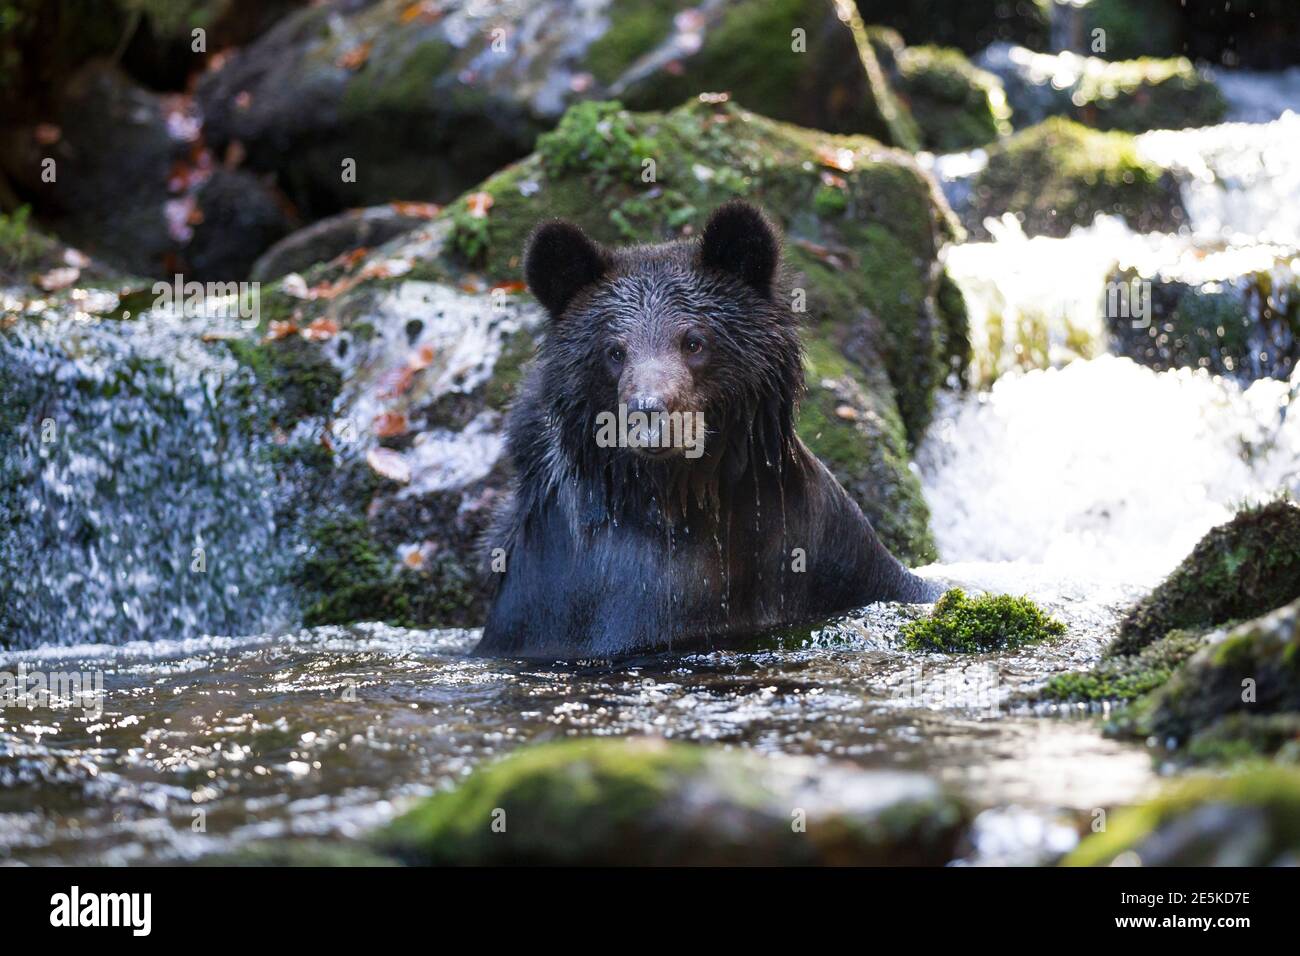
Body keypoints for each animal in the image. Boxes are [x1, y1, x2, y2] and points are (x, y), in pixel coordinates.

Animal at [474, 201, 939, 659]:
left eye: (694, 341)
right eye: (614, 351)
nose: (649, 413)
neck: (690, 493)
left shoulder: (820, 541)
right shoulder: (600, 589)